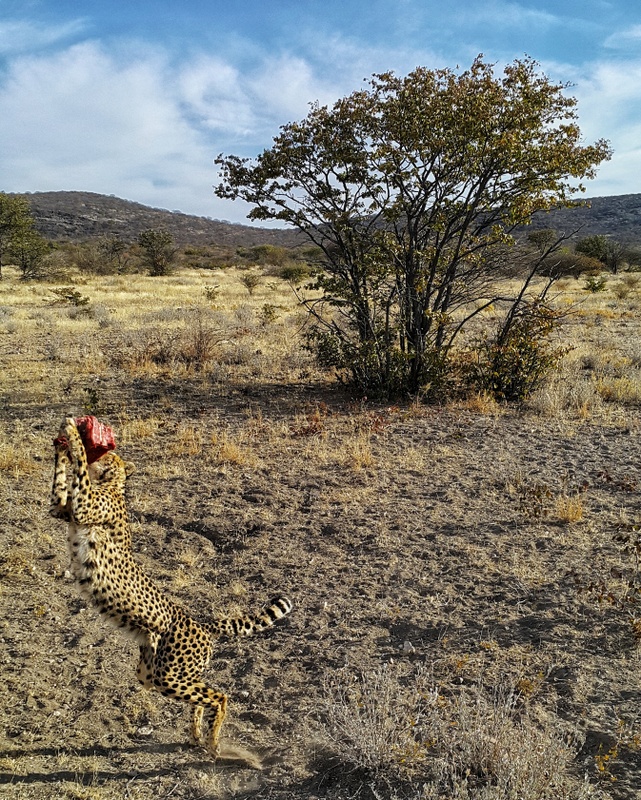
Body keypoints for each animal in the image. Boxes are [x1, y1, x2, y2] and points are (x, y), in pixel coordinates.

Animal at [49, 416, 292, 756]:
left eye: (111, 455)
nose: (106, 450)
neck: (111, 484)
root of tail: (201, 623)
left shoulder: (83, 506)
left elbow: (80, 469)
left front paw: (73, 436)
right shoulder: (62, 509)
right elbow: (59, 486)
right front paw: (61, 447)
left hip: (168, 675)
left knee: (220, 696)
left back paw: (213, 741)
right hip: (154, 673)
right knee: (200, 697)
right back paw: (196, 734)